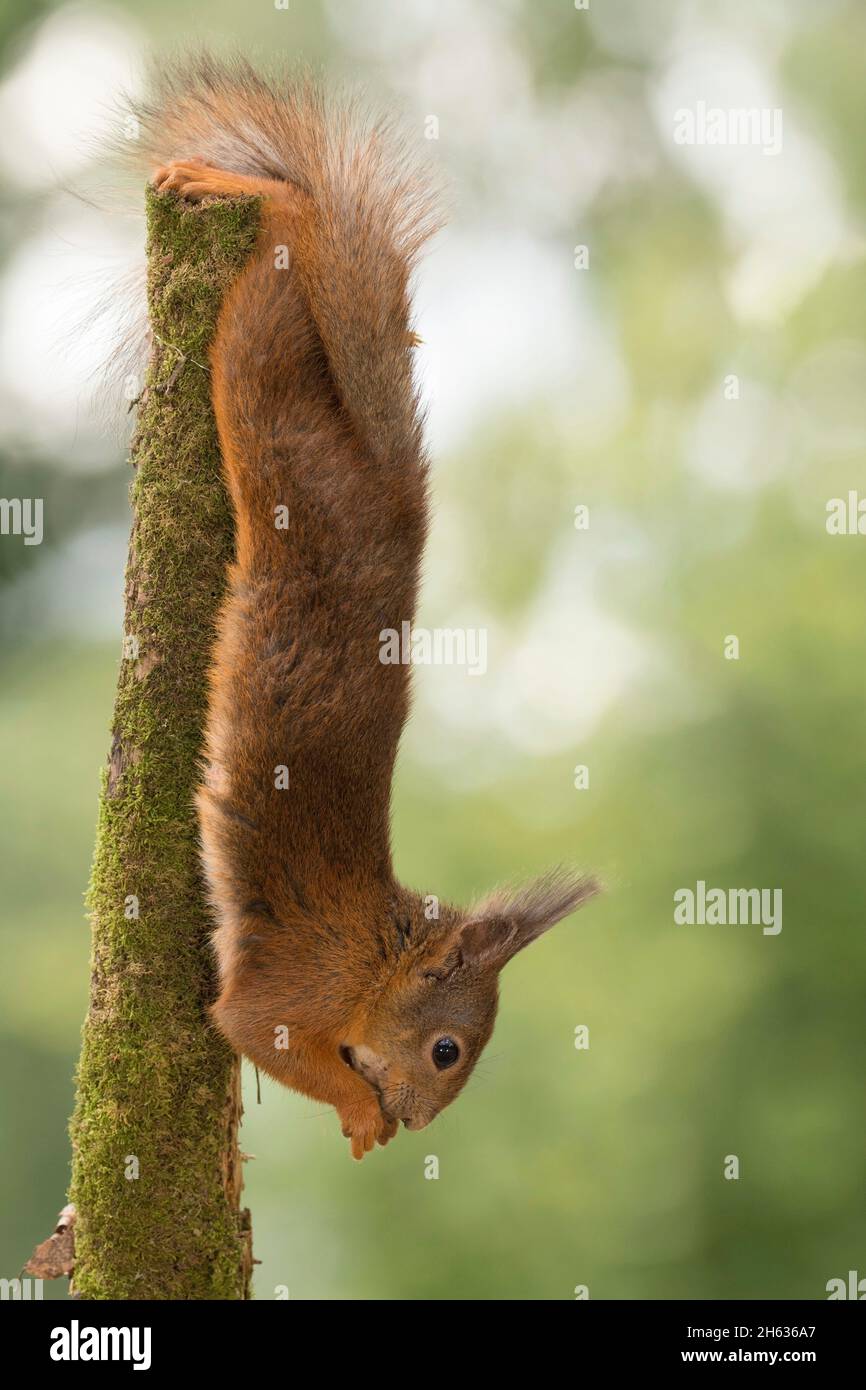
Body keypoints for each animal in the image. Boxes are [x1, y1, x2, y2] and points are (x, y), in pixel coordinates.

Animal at [132, 56, 599, 1158]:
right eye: (447, 1050)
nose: (420, 1122)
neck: (378, 960)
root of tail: (395, 491)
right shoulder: (289, 988)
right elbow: (248, 1030)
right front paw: (357, 1114)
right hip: (259, 368)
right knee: (293, 235)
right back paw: (240, 189)